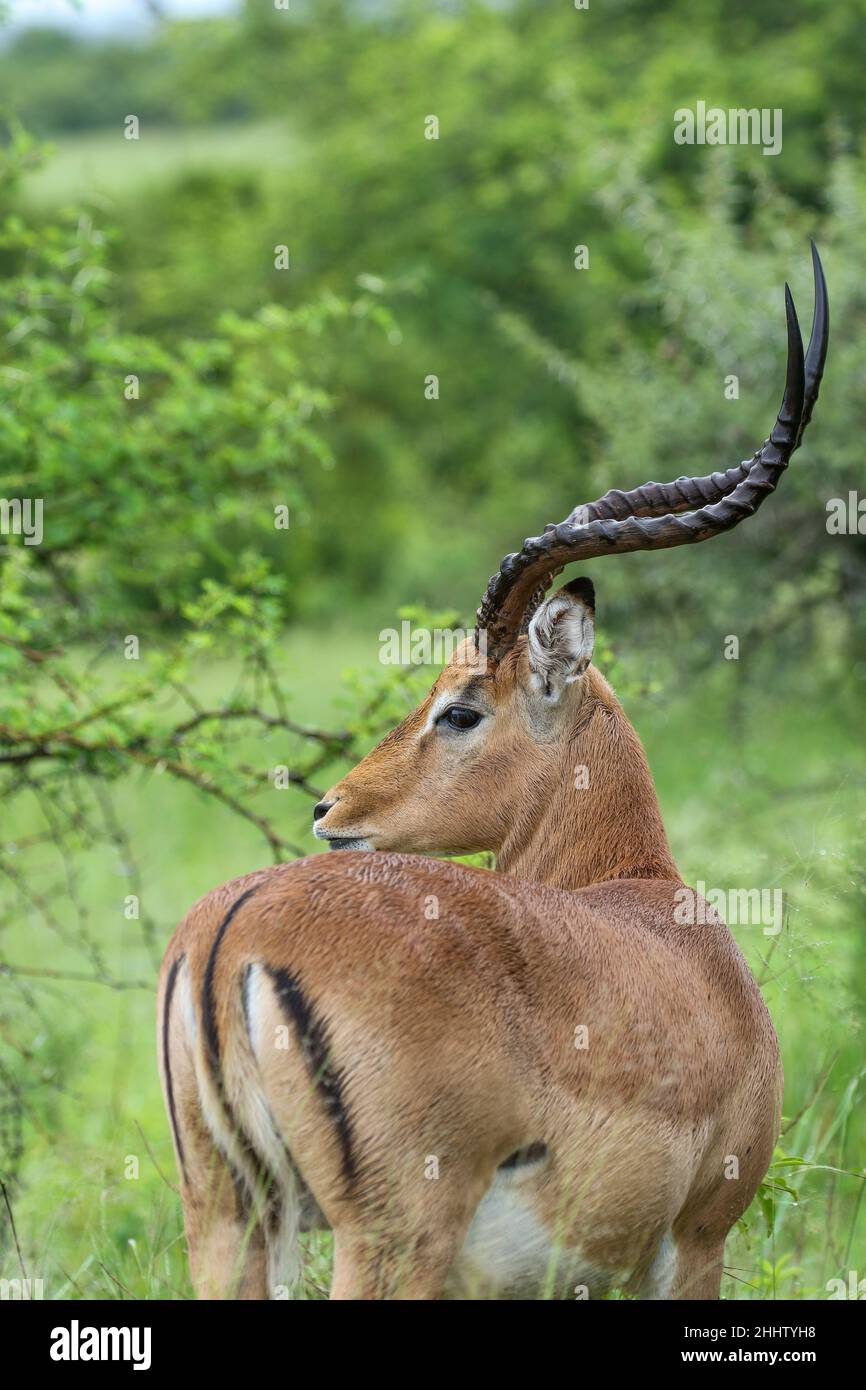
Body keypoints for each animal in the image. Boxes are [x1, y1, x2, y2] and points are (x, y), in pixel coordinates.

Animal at [158, 247, 828, 1300]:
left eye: (461, 707)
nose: (330, 808)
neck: (646, 908)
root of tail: (231, 937)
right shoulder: (696, 1240)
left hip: (230, 1216)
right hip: (391, 1240)